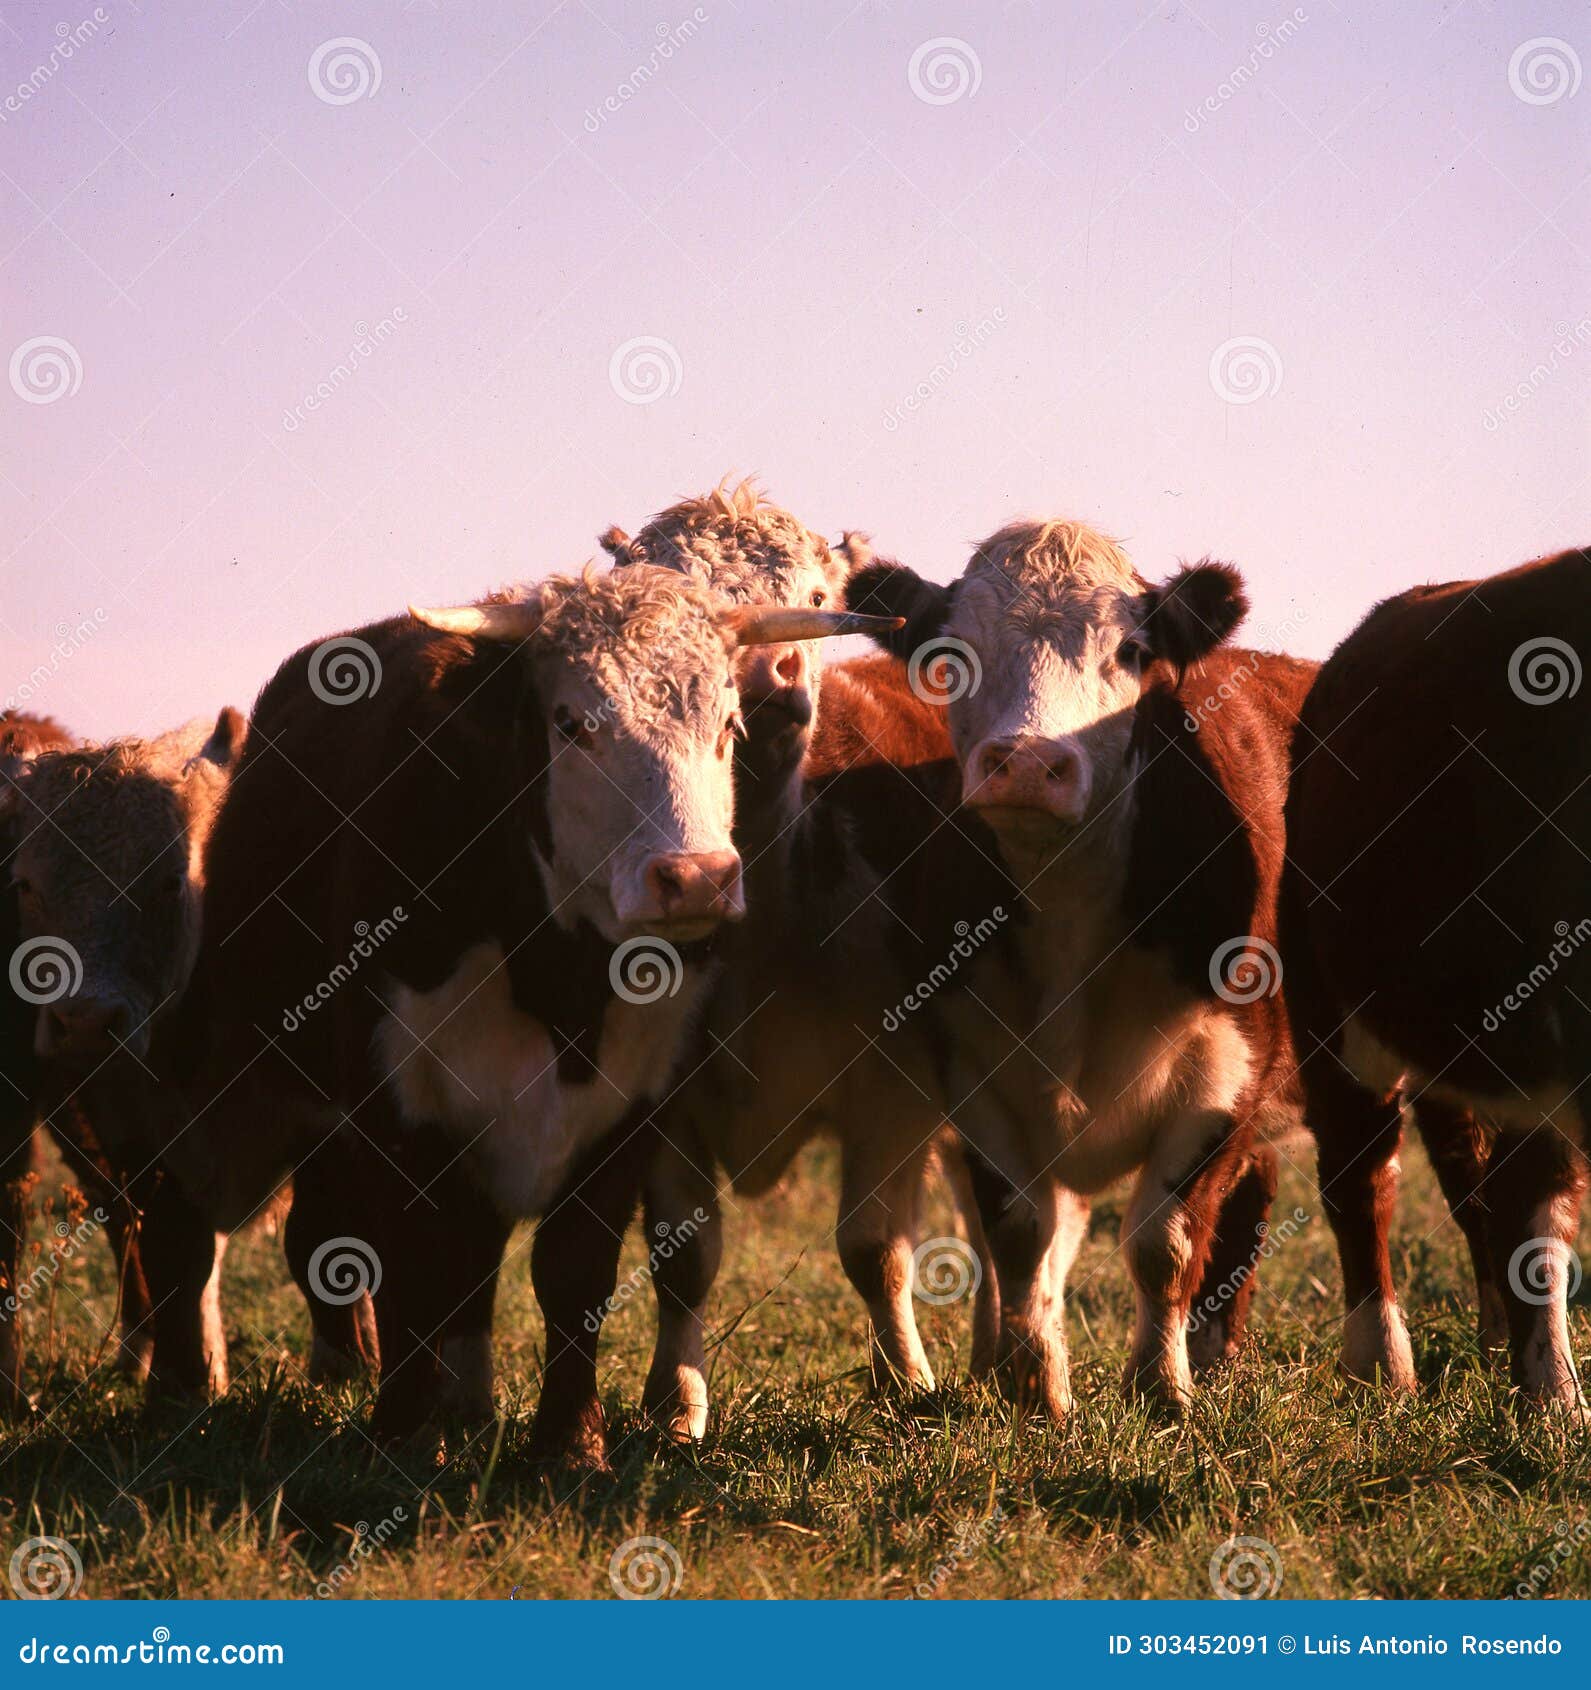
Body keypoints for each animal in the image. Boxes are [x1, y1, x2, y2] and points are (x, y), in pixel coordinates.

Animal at [164, 565, 897, 1460]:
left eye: (727, 724)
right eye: (571, 723)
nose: (696, 878)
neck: (556, 980)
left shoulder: (635, 1106)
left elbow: (569, 1269)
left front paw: (568, 1445)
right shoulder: (394, 1104)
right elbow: (417, 1264)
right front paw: (403, 1435)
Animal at [599, 484, 997, 1440]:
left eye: (815, 599)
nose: (769, 671)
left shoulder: (894, 1088)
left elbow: (873, 1248)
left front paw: (906, 1385)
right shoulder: (661, 1101)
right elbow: (683, 1261)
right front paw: (675, 1406)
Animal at [848, 519, 1315, 1417]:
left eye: (1131, 651)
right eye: (950, 655)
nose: (1029, 763)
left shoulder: (1226, 1076)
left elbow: (1163, 1243)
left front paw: (1161, 1391)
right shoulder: (976, 1075)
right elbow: (1021, 1236)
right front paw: (1040, 1394)